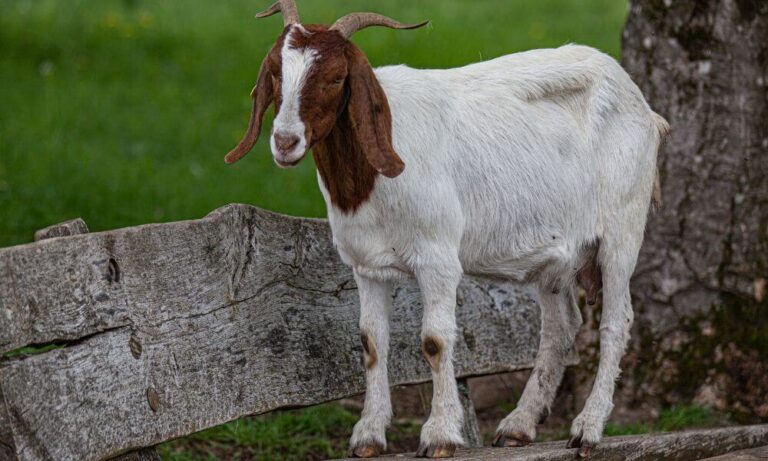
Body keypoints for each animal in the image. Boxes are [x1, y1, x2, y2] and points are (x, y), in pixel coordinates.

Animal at [225, 1, 669, 458]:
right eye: (275, 72)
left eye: (334, 77)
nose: (285, 142)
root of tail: (644, 108)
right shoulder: (366, 265)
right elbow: (371, 343)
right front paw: (368, 435)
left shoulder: (436, 258)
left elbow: (435, 341)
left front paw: (439, 434)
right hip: (556, 255)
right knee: (560, 327)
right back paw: (519, 425)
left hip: (622, 229)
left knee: (616, 322)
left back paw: (588, 428)